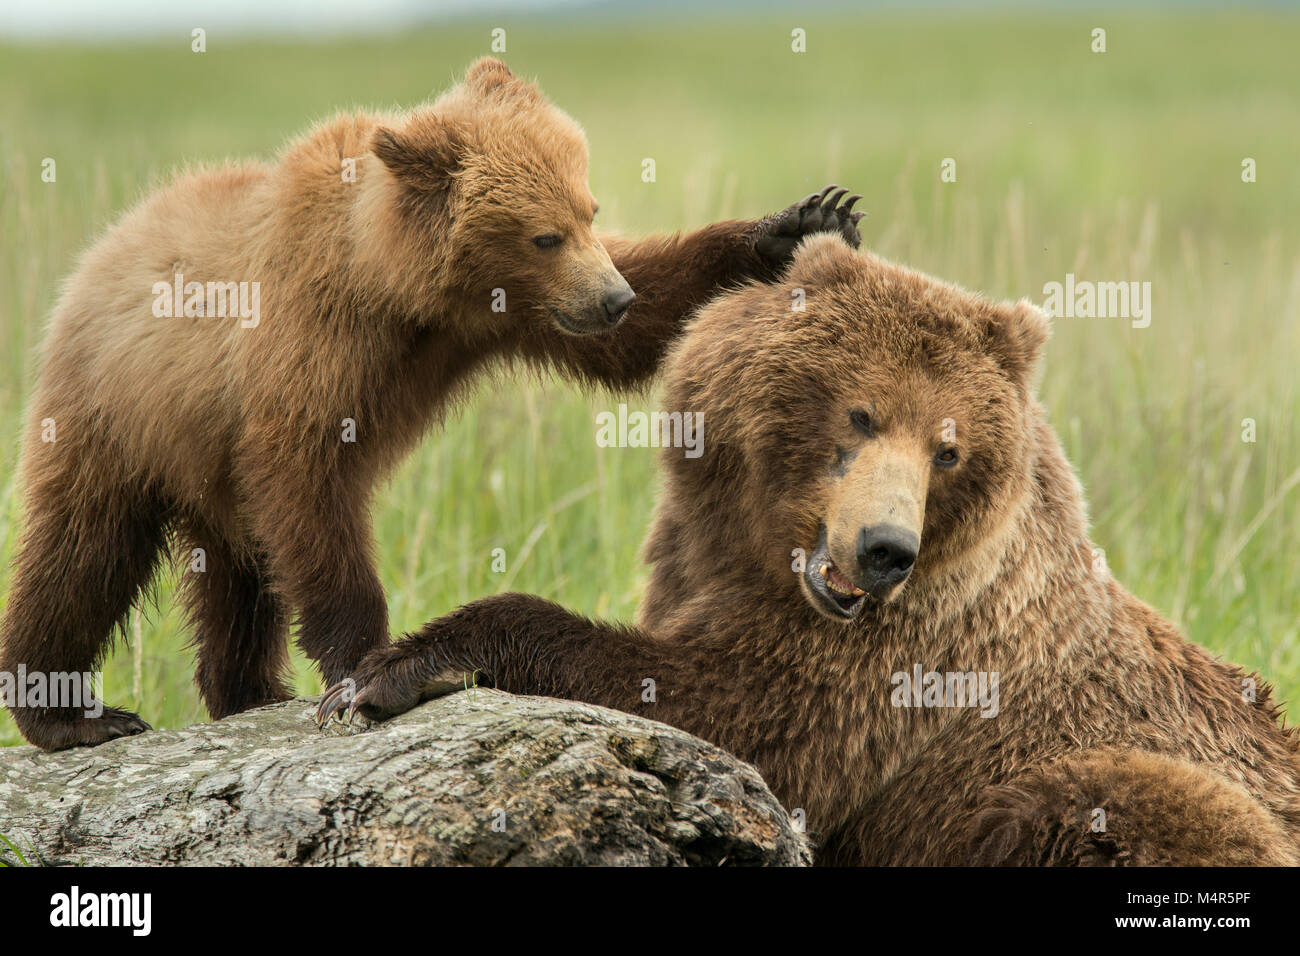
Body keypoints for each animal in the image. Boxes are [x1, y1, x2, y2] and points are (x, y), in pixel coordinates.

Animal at [0, 56, 864, 751]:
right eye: (544, 234)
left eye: (588, 210)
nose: (610, 297)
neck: (398, 288)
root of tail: (97, 252)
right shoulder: (310, 338)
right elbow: (309, 479)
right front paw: (363, 668)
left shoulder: (500, 317)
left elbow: (645, 326)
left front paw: (802, 221)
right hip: (114, 414)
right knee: (82, 553)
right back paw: (71, 713)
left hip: (208, 464)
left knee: (237, 578)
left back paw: (247, 690)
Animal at [317, 233, 1300, 866]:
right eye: (860, 413)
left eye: (949, 449)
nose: (885, 548)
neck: (765, 557)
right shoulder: (703, 557)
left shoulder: (903, 667)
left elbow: (738, 717)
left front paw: (398, 667)